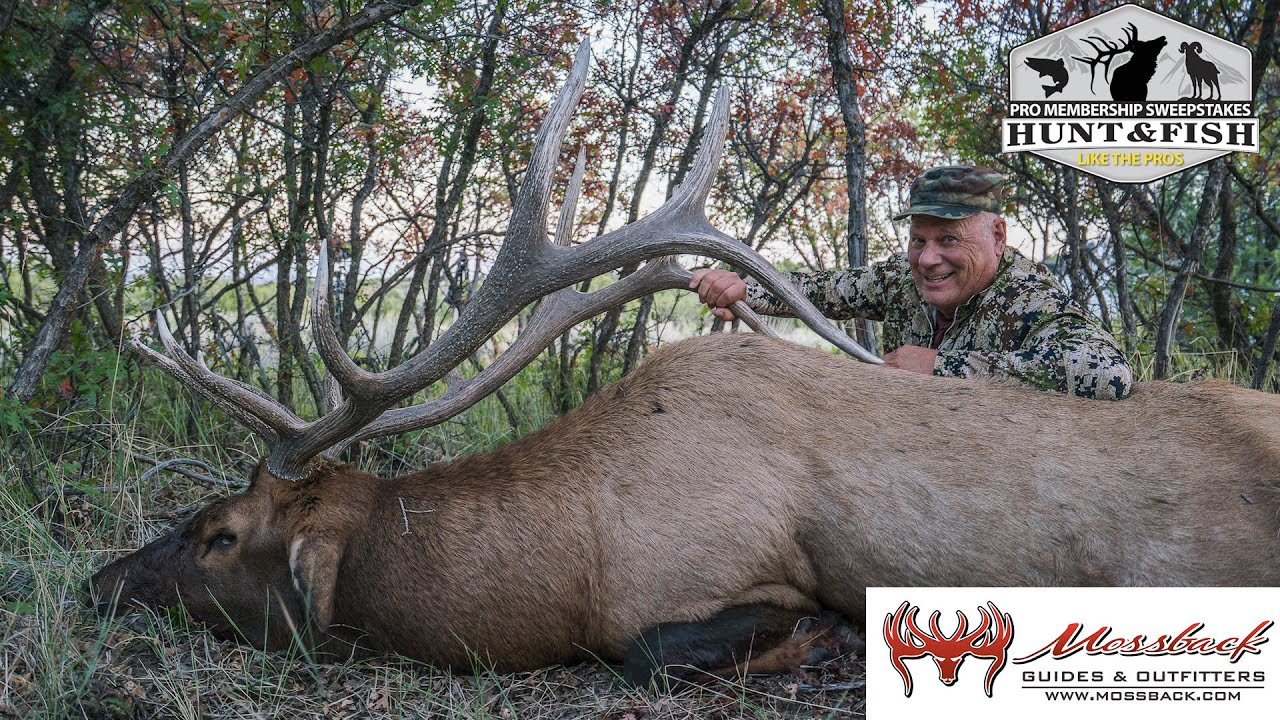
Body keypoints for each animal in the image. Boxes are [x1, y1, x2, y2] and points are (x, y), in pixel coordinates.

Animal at [90, 42, 1280, 688]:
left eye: (218, 534)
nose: (99, 583)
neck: (570, 564)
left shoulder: (734, 580)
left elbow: (656, 650)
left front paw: (815, 651)